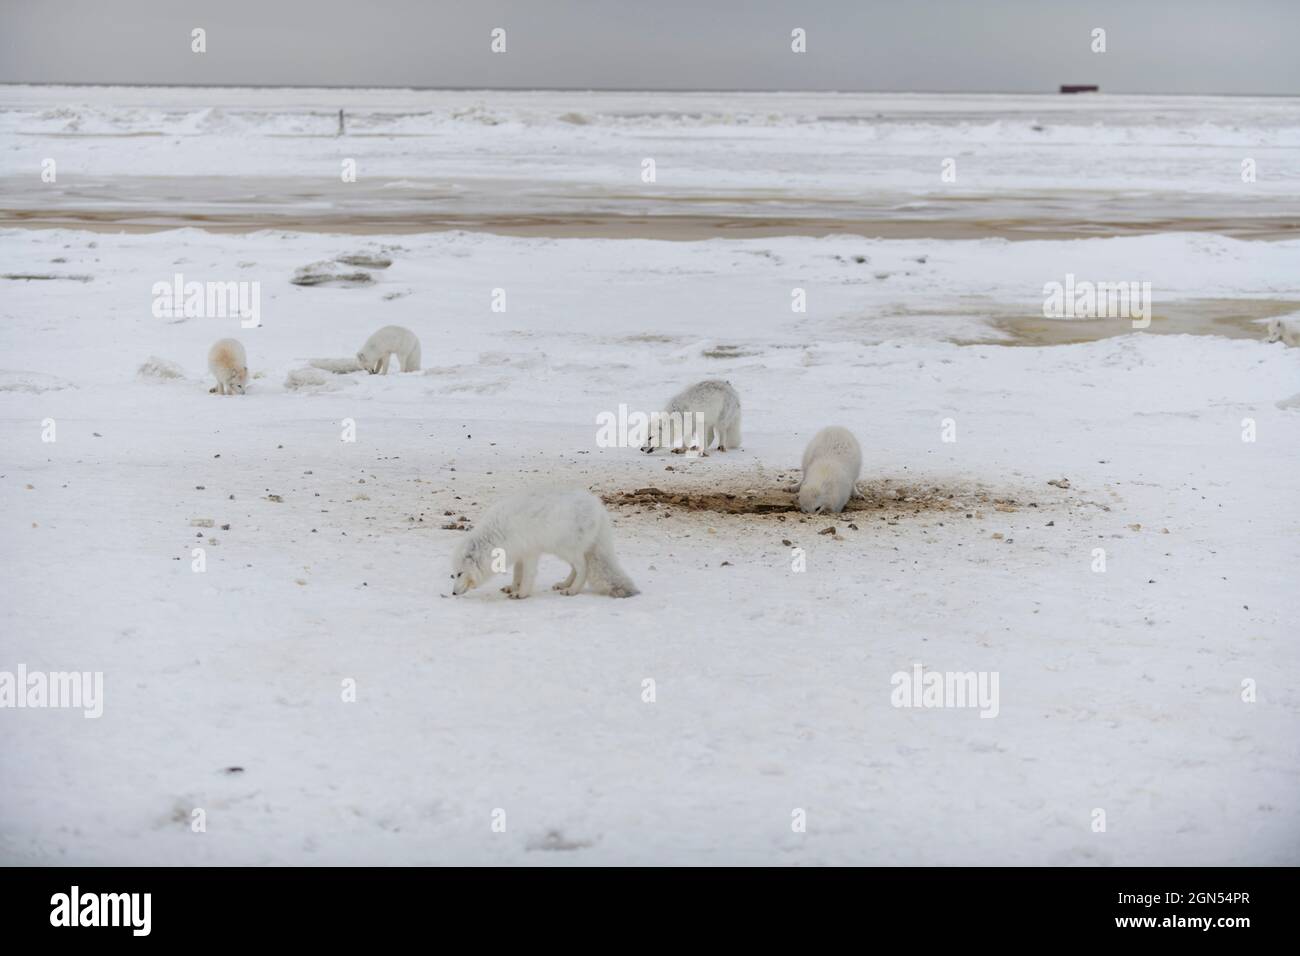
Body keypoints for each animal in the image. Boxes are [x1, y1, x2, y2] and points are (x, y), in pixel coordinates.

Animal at [450, 488, 639, 600]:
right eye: (453, 575)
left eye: (459, 573)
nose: (453, 592)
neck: (497, 534)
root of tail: (599, 508)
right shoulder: (519, 553)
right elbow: (517, 575)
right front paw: (512, 588)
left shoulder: (530, 553)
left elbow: (528, 576)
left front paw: (521, 594)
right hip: (564, 550)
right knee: (575, 568)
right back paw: (565, 584)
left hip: (566, 549)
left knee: (583, 568)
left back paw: (572, 590)